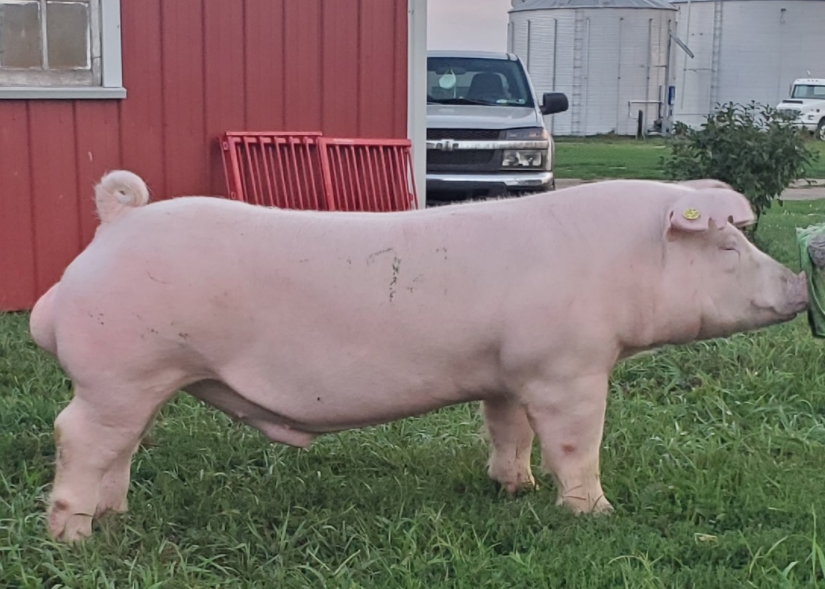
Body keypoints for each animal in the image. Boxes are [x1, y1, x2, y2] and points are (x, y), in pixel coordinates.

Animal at [29, 171, 808, 542]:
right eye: (728, 244)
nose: (802, 283)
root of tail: (117, 222)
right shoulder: (569, 367)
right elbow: (574, 441)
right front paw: (596, 514)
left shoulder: (508, 373)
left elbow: (509, 430)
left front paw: (514, 490)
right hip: (118, 371)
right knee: (77, 437)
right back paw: (75, 540)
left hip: (141, 380)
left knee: (122, 448)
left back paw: (115, 518)